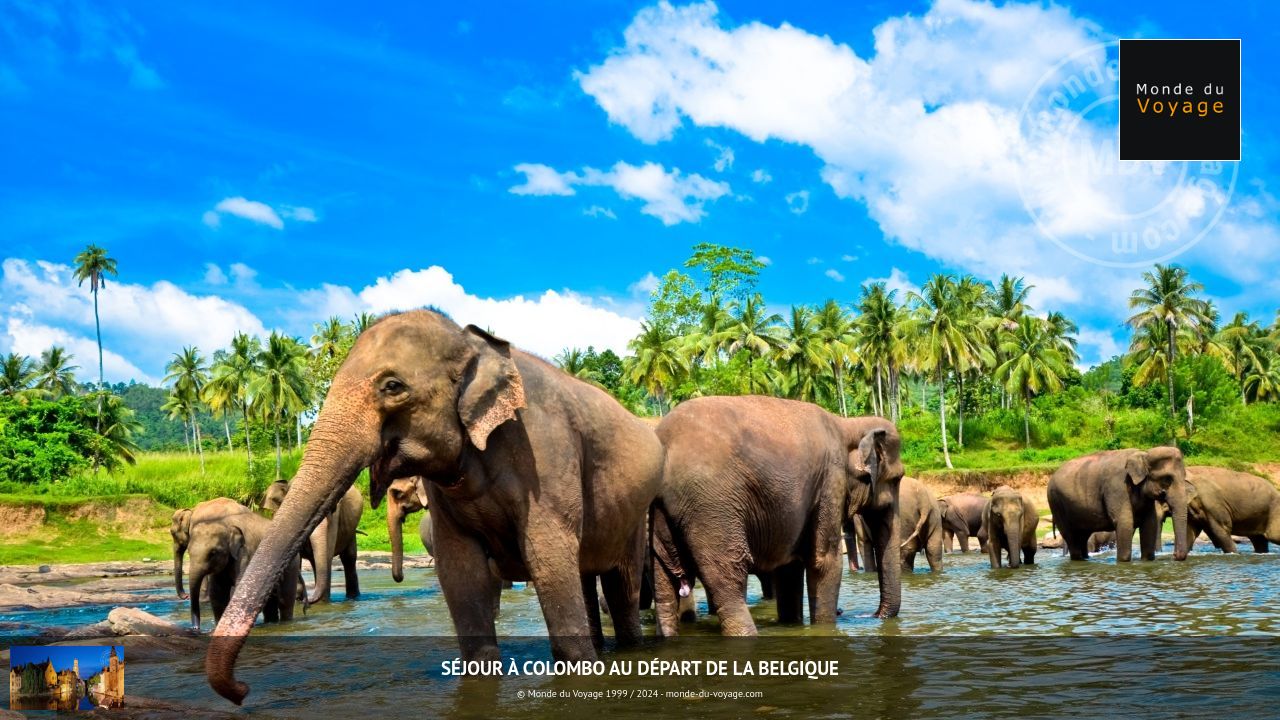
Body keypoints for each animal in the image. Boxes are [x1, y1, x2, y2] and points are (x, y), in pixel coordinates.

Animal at [204, 310, 665, 702]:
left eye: (392, 387)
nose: (242, 691)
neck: (473, 343)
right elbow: (462, 572)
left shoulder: (547, 457)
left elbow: (548, 560)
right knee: (586, 579)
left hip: (635, 511)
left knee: (621, 588)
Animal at [650, 394, 901, 635]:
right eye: (897, 479)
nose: (870, 615)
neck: (847, 424)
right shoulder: (830, 481)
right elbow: (824, 561)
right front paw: (824, 629)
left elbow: (789, 567)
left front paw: (792, 624)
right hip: (712, 507)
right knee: (728, 578)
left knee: (664, 585)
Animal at [1049, 443, 1187, 561]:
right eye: (1167, 479)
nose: (1174, 555)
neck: (1143, 454)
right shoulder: (1117, 487)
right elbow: (1125, 522)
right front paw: (1123, 561)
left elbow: (1150, 523)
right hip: (1056, 503)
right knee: (1071, 536)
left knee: (1083, 536)